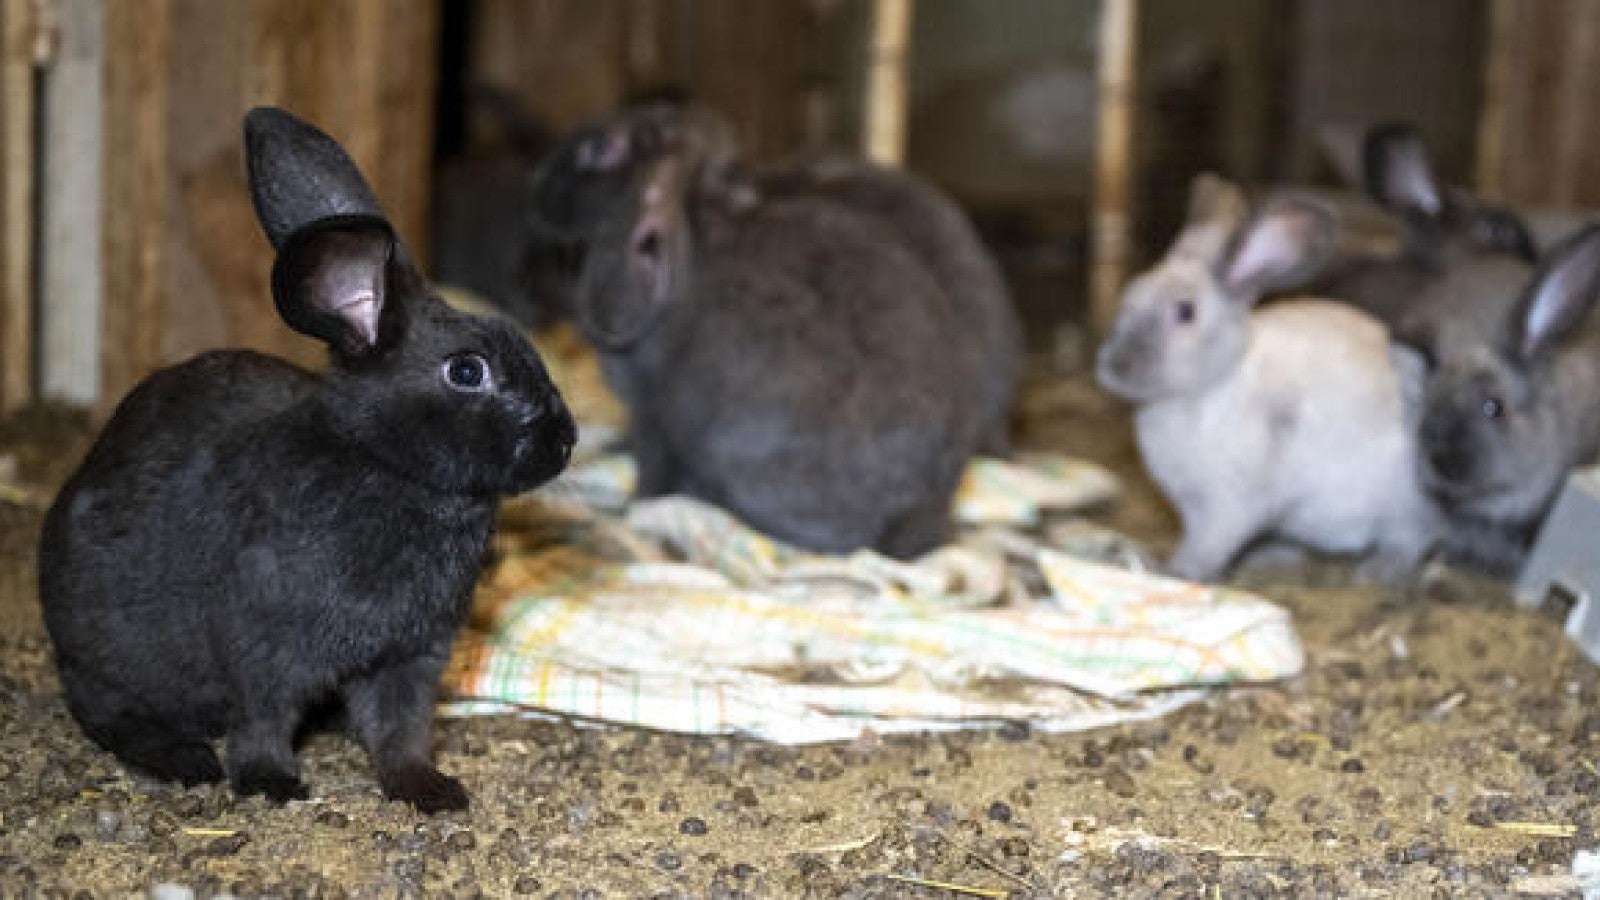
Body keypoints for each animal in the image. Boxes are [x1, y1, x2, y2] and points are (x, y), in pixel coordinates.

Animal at [37, 107, 576, 812]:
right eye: (466, 371)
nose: (565, 440)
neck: (387, 465)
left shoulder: (408, 658)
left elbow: (401, 729)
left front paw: (429, 790)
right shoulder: (266, 648)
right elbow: (264, 721)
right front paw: (272, 783)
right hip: (99, 655)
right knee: (105, 711)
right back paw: (183, 759)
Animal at [530, 103, 991, 559]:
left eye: (599, 149)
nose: (540, 186)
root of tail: (920, 507)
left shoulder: (651, 413)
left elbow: (652, 466)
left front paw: (634, 507)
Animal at [1097, 174, 1440, 583]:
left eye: (1184, 312)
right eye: (1129, 295)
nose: (1115, 366)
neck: (1210, 390)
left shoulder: (1228, 505)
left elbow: (1209, 544)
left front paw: (1178, 570)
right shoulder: (1195, 505)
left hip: (1403, 505)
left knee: (1412, 539)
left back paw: (1378, 571)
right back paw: (1272, 556)